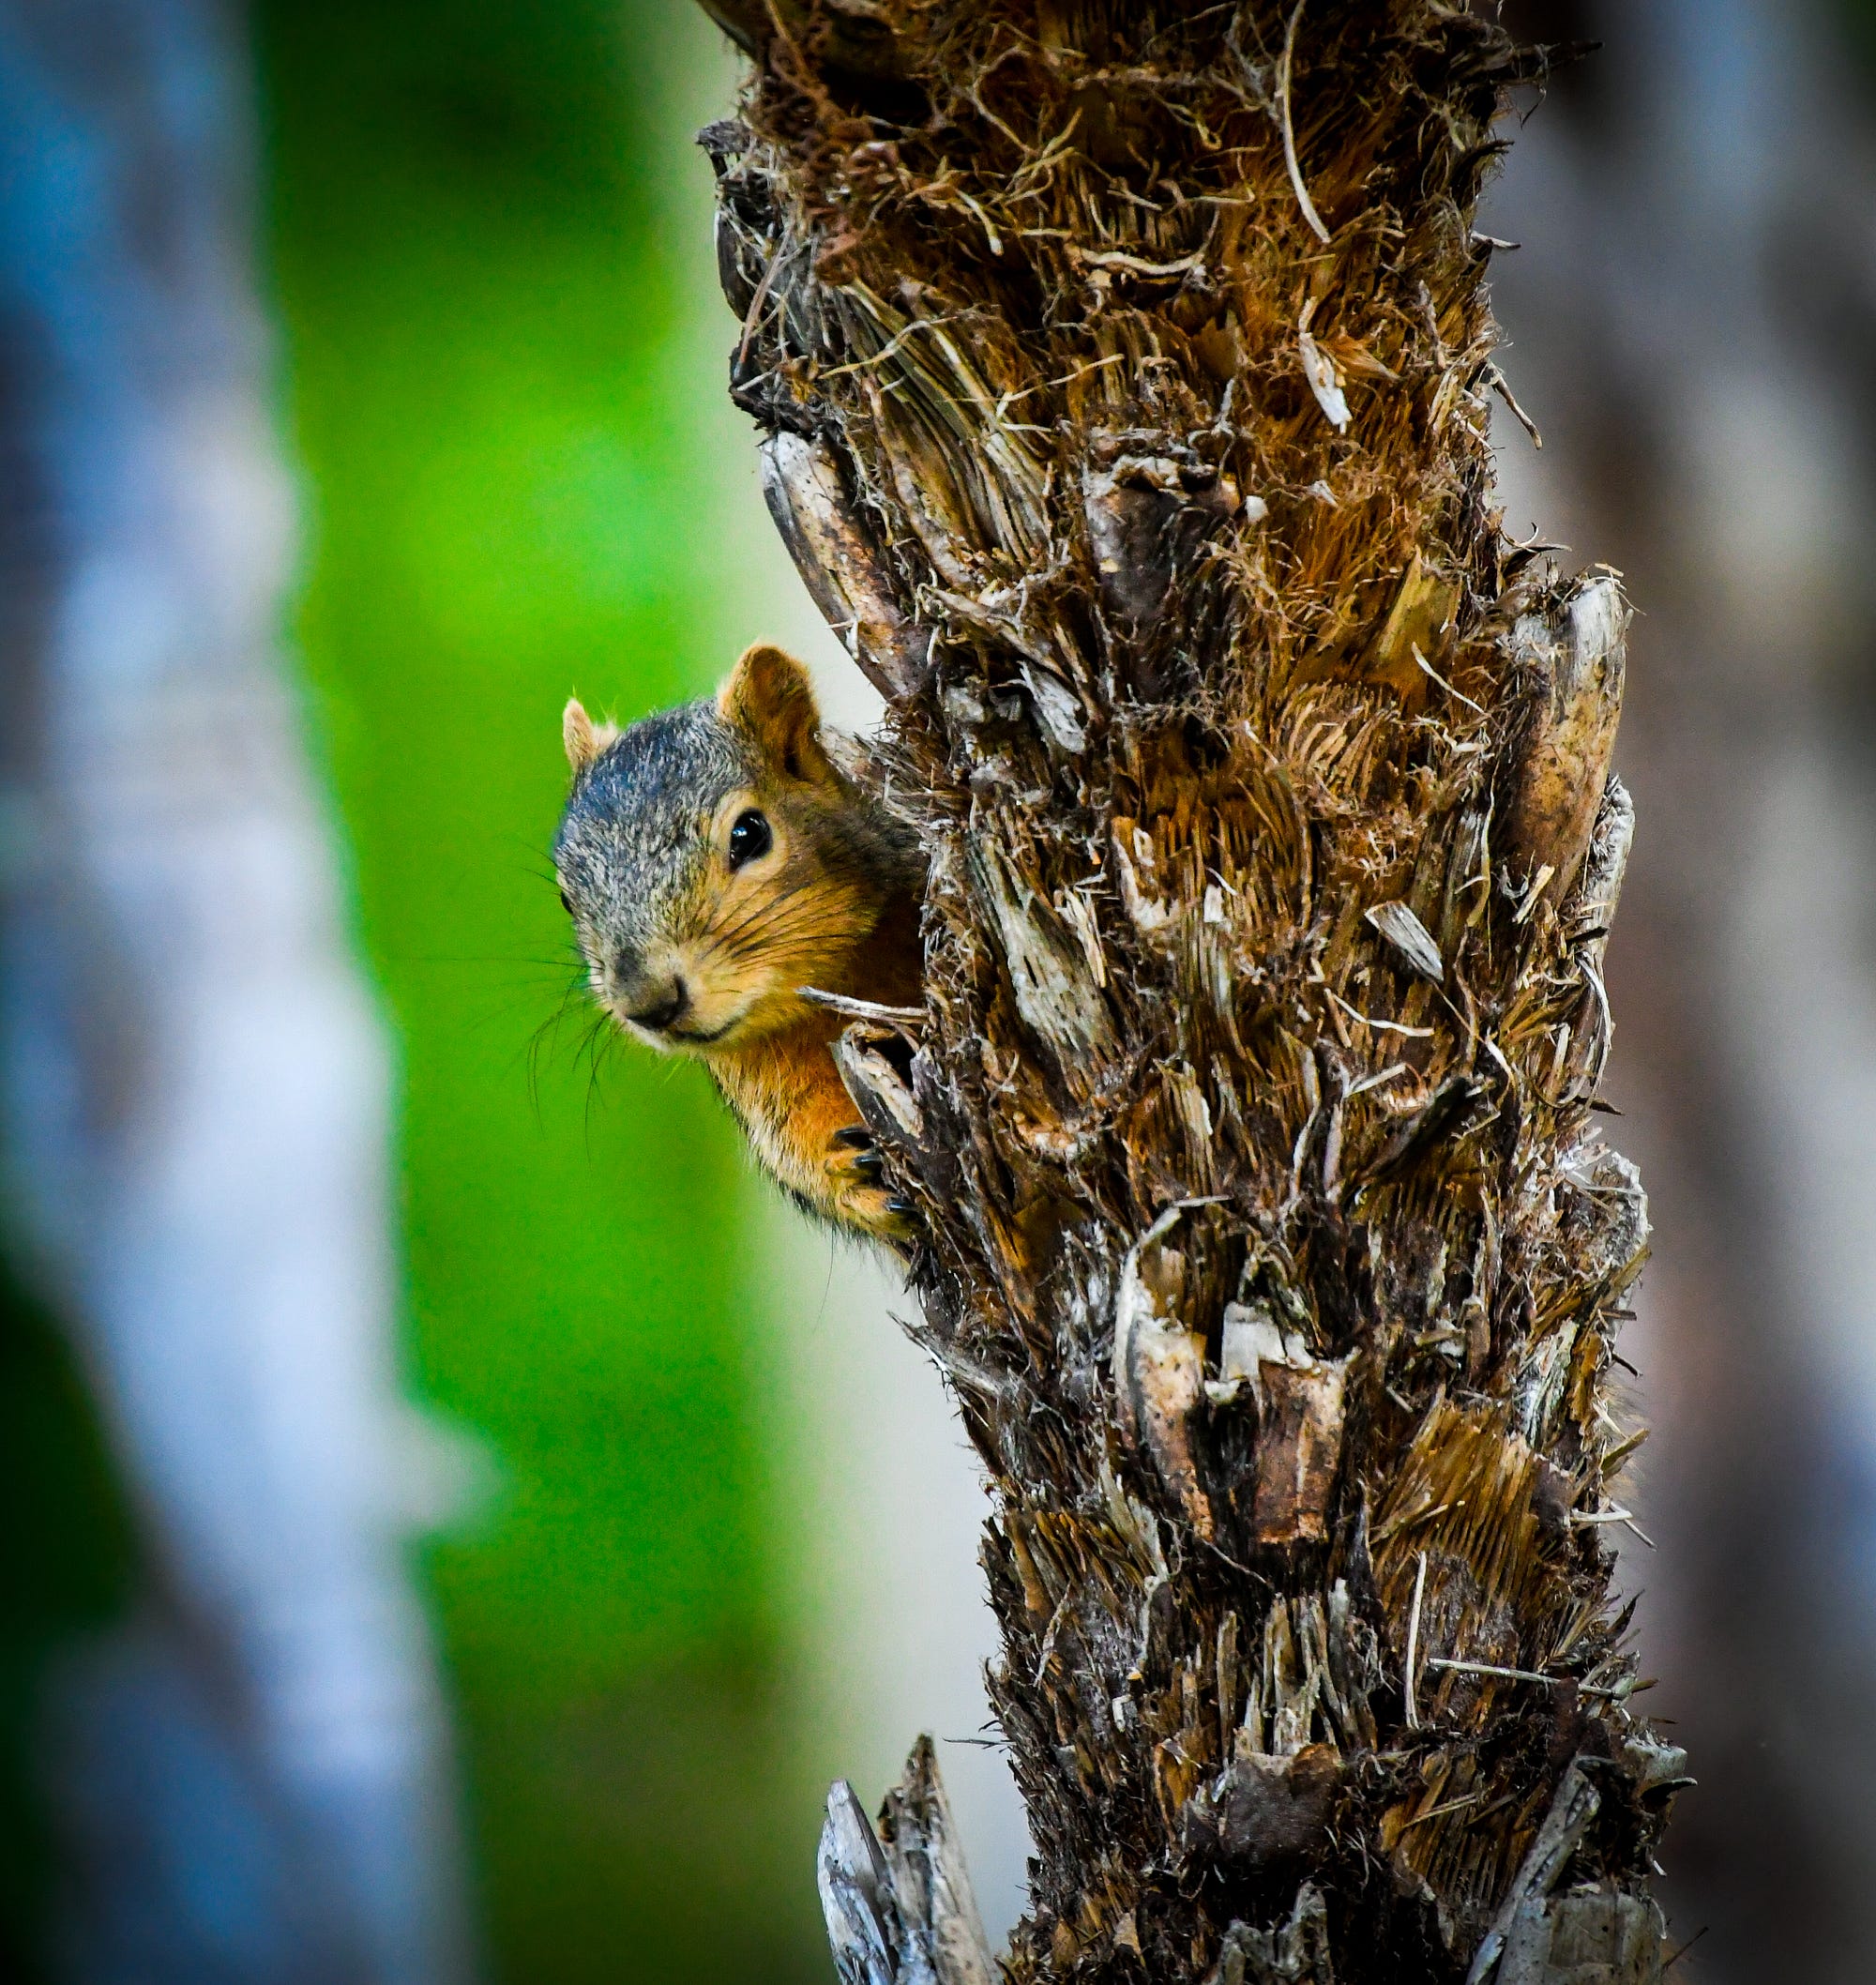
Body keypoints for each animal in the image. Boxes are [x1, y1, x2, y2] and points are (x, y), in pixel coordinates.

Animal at [553, 643, 924, 1245]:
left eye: (749, 833)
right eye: (566, 896)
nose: (647, 1003)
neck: (845, 974)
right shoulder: (760, 1068)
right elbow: (794, 1137)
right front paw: (847, 1173)